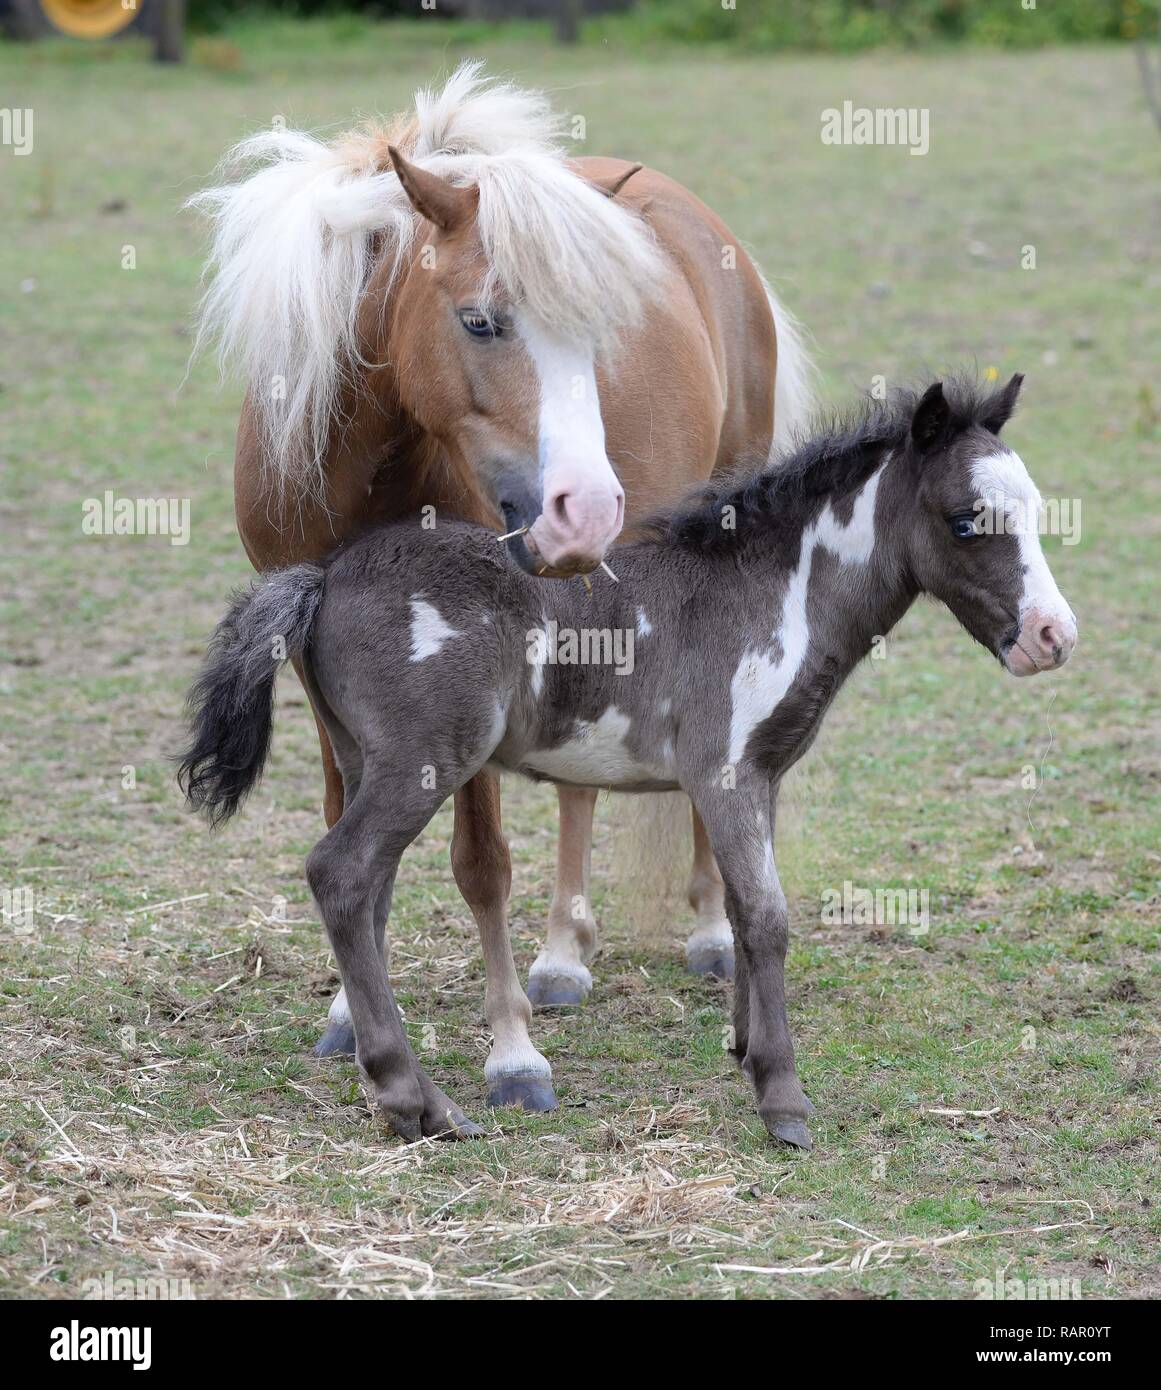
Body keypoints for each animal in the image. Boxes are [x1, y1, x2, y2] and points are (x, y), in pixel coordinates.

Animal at [179, 374, 1078, 1149]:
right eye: (964, 518)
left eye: (1035, 511)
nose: (1051, 637)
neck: (772, 592)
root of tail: (324, 577)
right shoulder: (723, 772)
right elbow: (768, 916)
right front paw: (782, 1099)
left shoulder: (760, 777)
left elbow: (746, 912)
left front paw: (743, 1046)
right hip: (422, 763)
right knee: (342, 871)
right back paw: (418, 1101)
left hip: (368, 759)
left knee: (367, 890)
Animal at [189, 63, 815, 1106]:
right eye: (479, 320)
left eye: (599, 339)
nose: (585, 510)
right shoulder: (323, 664)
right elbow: (349, 833)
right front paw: (347, 1014)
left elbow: (479, 863)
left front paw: (511, 1053)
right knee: (577, 788)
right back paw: (562, 953)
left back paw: (705, 930)